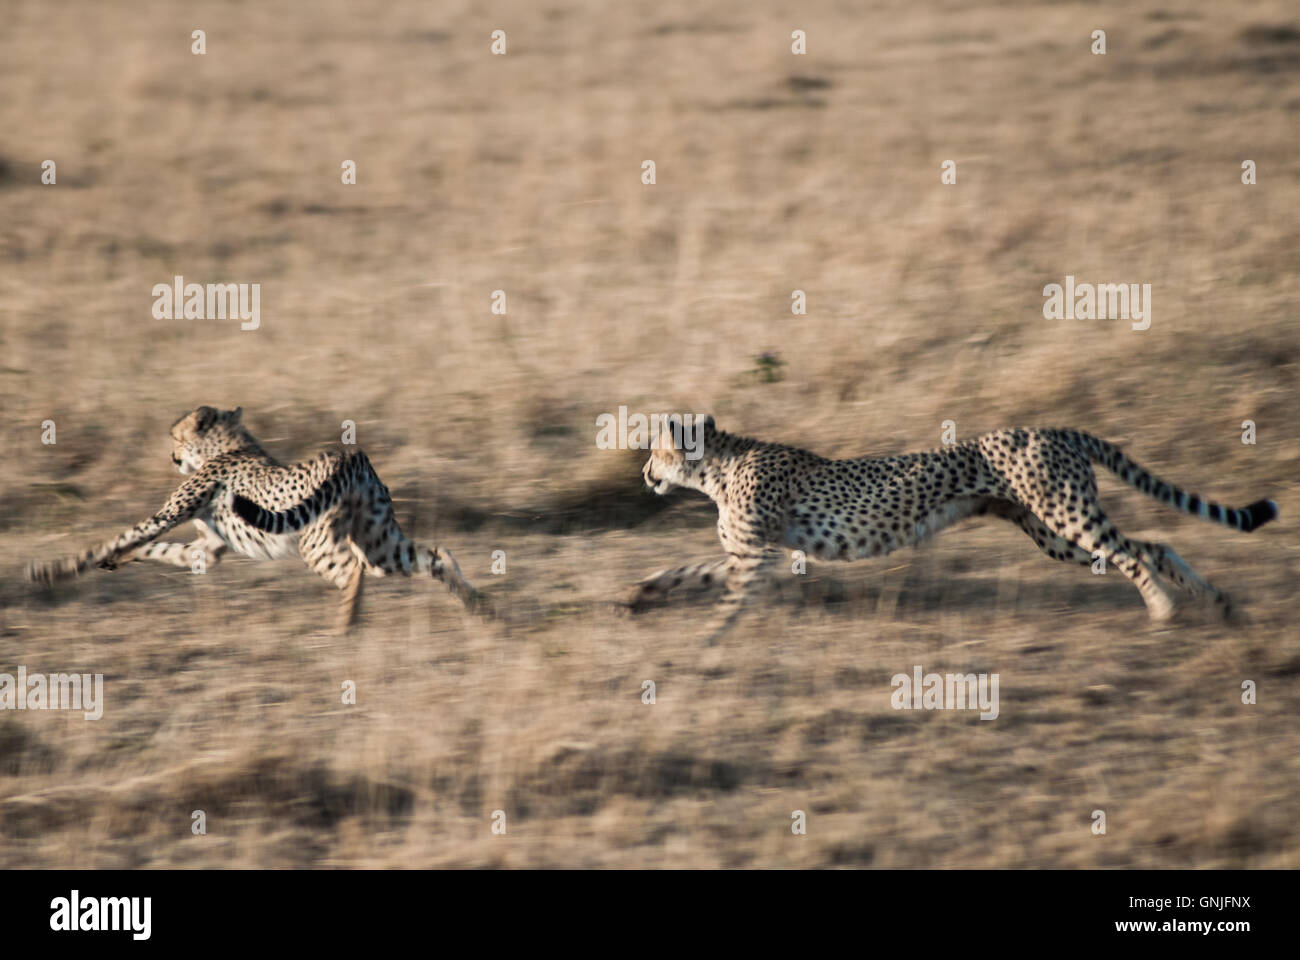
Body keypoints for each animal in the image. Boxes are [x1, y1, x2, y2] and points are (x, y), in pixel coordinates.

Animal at [27, 405, 485, 631]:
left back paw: (346, 624)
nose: (171, 456)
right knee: (436, 553)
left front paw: (53, 570)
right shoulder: (208, 549)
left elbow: (125, 535)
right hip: (380, 542)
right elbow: (157, 548)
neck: (229, 445)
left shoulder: (171, 515)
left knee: (353, 570)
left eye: (175, 436)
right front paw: (112, 562)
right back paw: (479, 604)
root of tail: (349, 455)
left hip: (317, 543)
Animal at [630, 417, 1278, 641]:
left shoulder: (759, 557)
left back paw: (1165, 609)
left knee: (1133, 553)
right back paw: (1216, 601)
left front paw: (707, 643)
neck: (718, 466)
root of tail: (1052, 427)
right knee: (1152, 544)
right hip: (1051, 532)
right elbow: (696, 570)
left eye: (657, 450)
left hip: (1064, 515)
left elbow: (729, 597)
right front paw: (646, 589)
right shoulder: (769, 554)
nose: (643, 472)